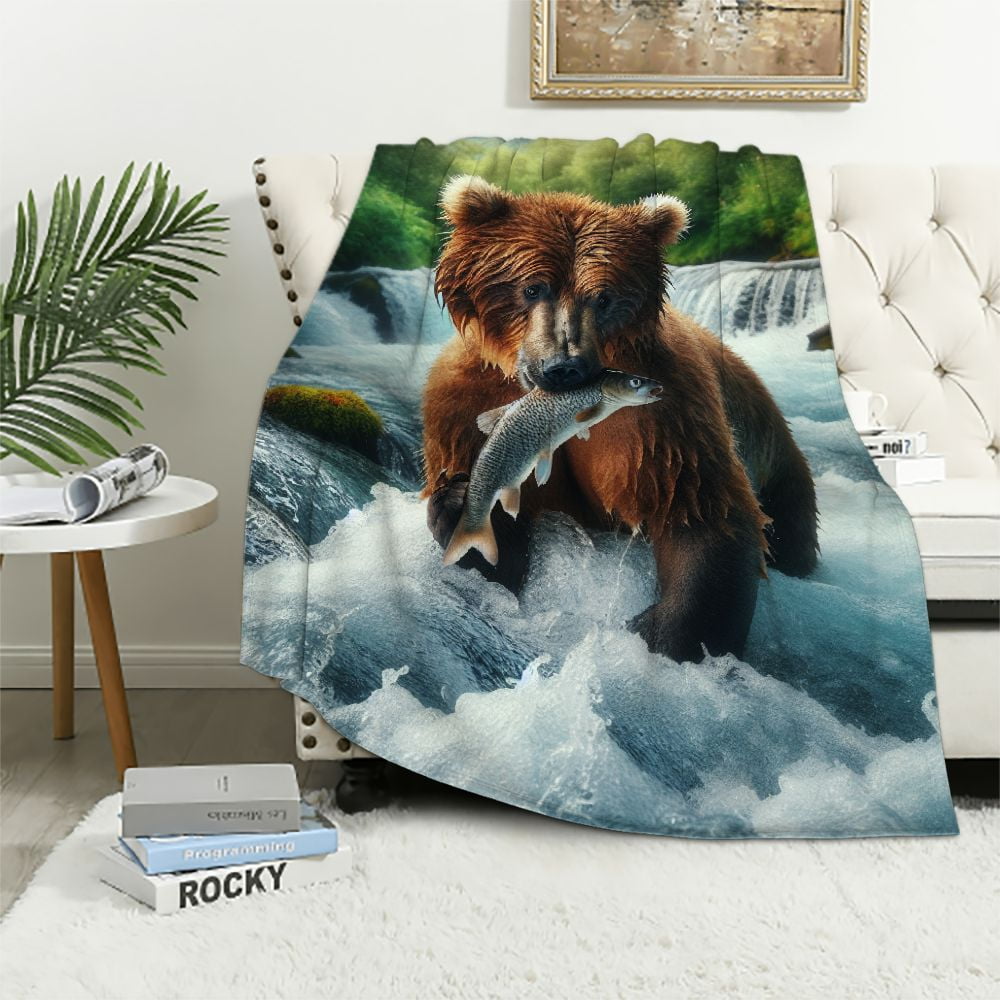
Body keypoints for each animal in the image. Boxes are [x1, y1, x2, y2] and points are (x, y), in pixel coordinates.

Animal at [422, 175, 818, 663]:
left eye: (604, 298)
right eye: (533, 287)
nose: (564, 366)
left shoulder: (667, 412)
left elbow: (698, 508)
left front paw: (664, 636)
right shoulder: (465, 396)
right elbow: (501, 546)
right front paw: (459, 502)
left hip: (775, 455)